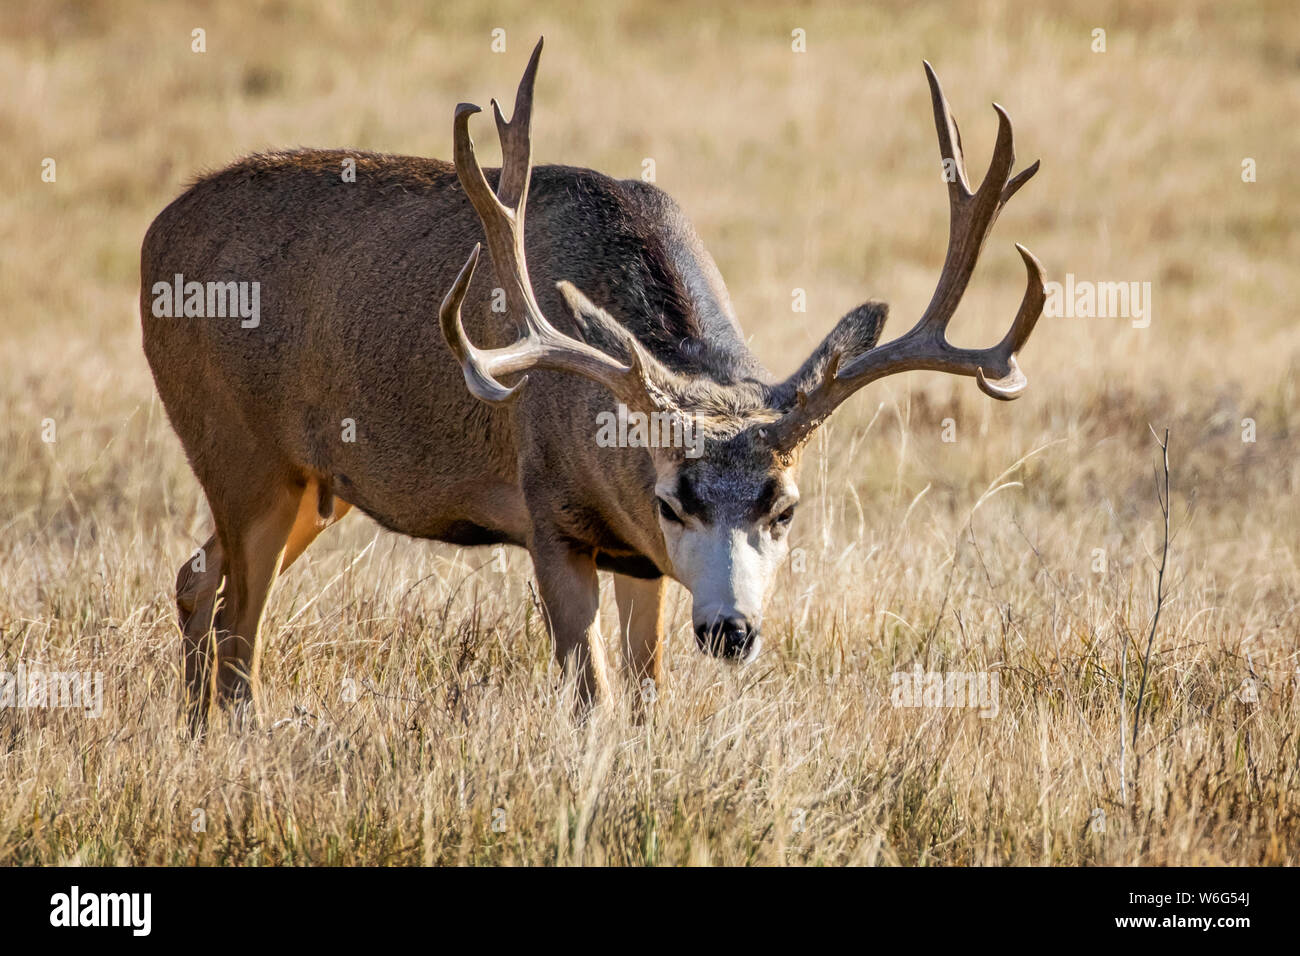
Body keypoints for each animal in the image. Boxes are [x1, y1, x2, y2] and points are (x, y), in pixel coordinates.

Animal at [140, 38, 1045, 727]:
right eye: (673, 500)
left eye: (784, 507)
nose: (731, 631)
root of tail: (154, 235)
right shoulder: (552, 515)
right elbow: (594, 697)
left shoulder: (637, 558)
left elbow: (648, 696)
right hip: (238, 450)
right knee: (239, 626)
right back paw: (236, 737)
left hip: (311, 485)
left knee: (196, 579)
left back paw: (192, 733)